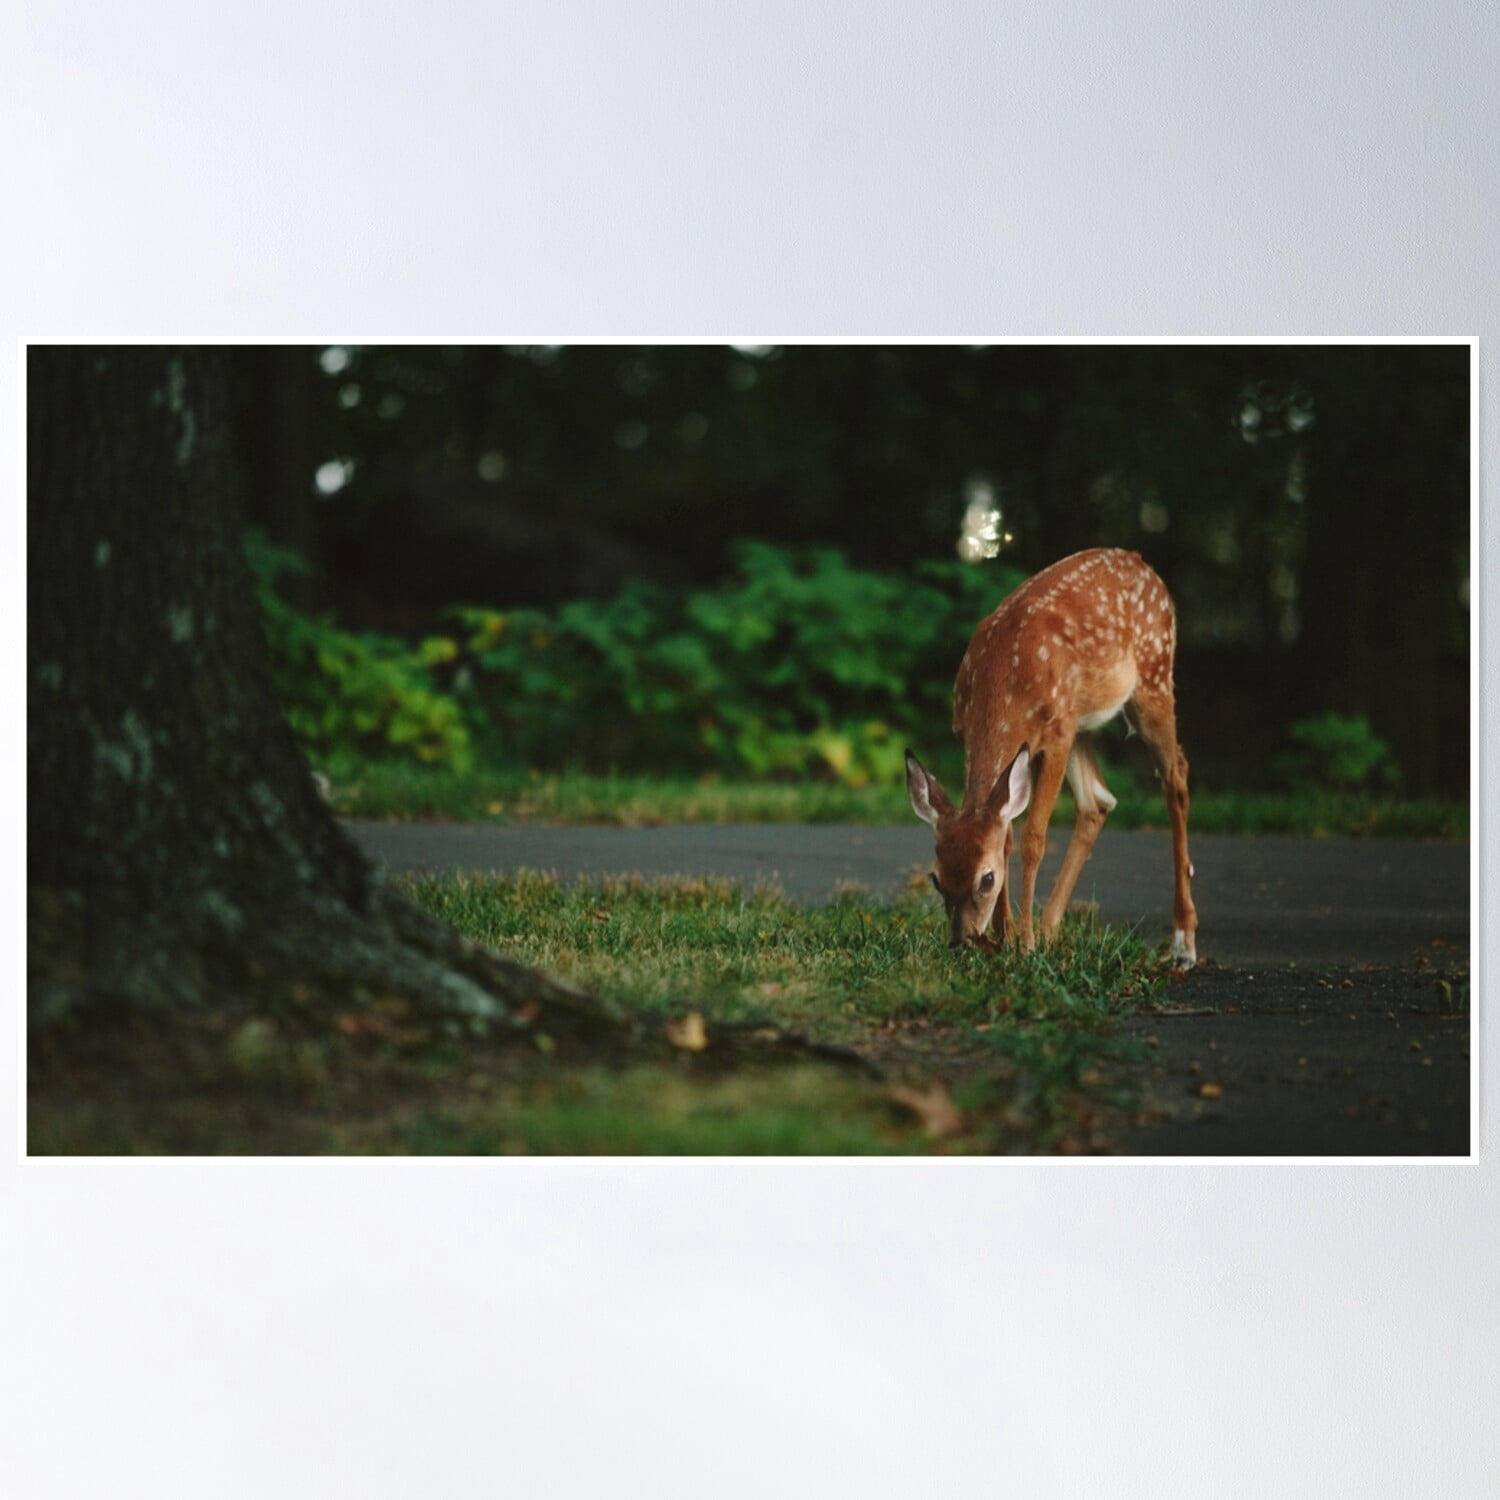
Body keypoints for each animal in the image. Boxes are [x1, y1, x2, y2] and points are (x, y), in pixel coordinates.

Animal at [905, 547, 1198, 969]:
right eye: (936, 878)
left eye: (986, 879)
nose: (961, 942)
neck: (1003, 680)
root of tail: (1142, 563)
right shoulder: (975, 733)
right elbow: (1006, 834)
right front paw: (1006, 938)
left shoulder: (1056, 735)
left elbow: (1032, 839)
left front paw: (1023, 945)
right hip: (1083, 722)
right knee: (1097, 801)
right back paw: (1049, 929)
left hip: (1153, 678)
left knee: (1176, 776)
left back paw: (1183, 942)